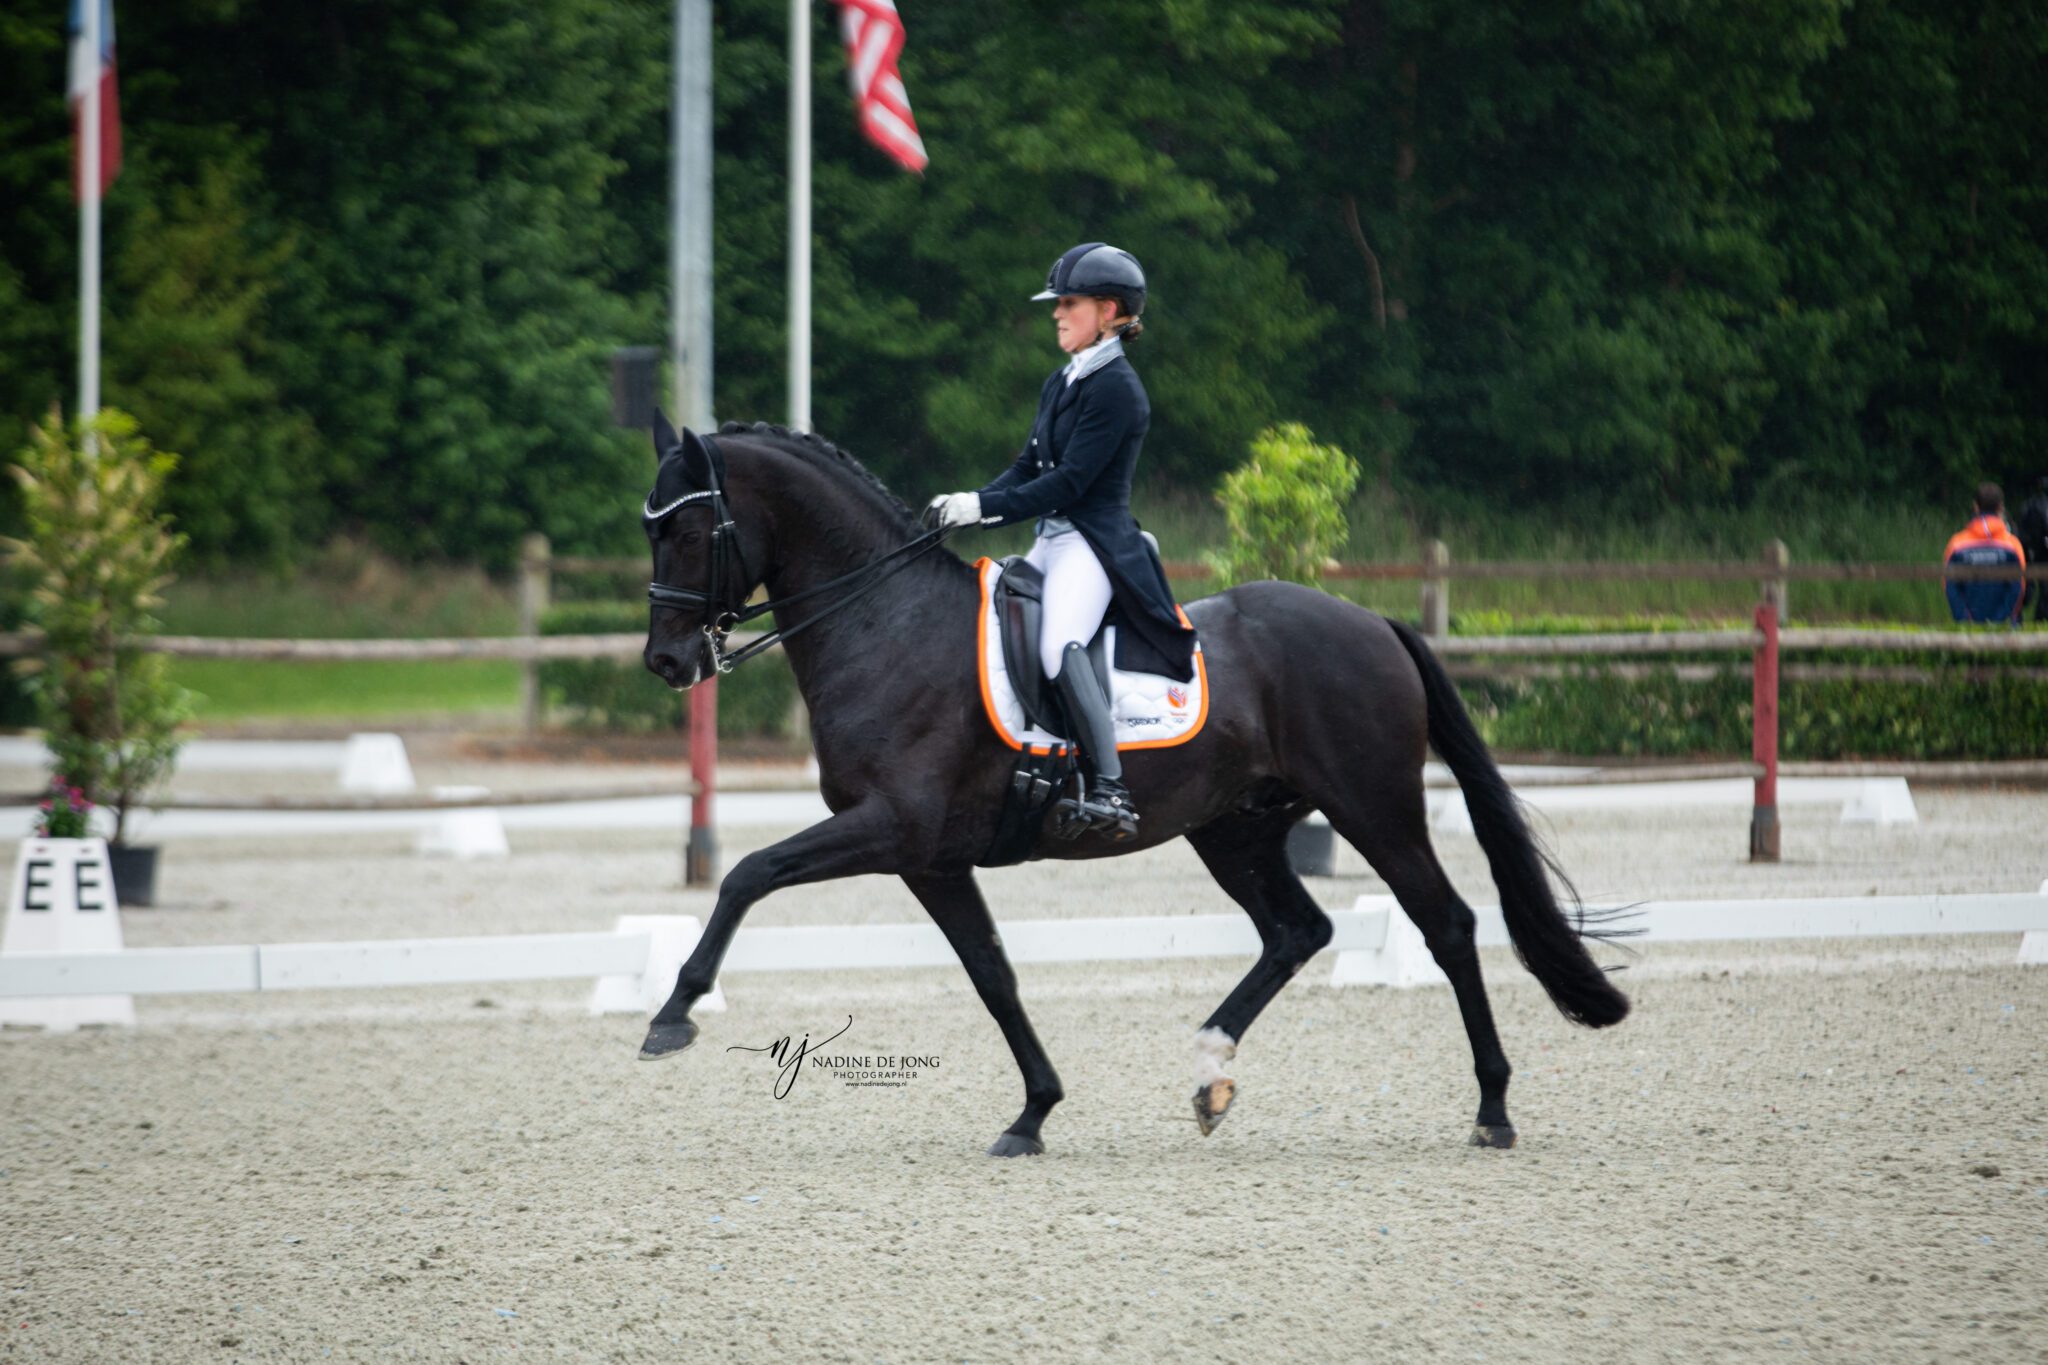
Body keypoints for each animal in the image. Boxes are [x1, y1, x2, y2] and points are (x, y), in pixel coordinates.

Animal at [636, 414, 1629, 1157]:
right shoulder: (931, 858)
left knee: (1447, 924)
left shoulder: (892, 828)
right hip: (1235, 828)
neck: (885, 621)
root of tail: (1371, 621)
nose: (667, 662)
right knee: (1297, 930)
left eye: (683, 529)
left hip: (1374, 807)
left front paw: (673, 1013)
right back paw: (1211, 1073)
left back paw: (1493, 1108)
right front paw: (1033, 1111)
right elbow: (992, 973)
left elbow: (748, 873)